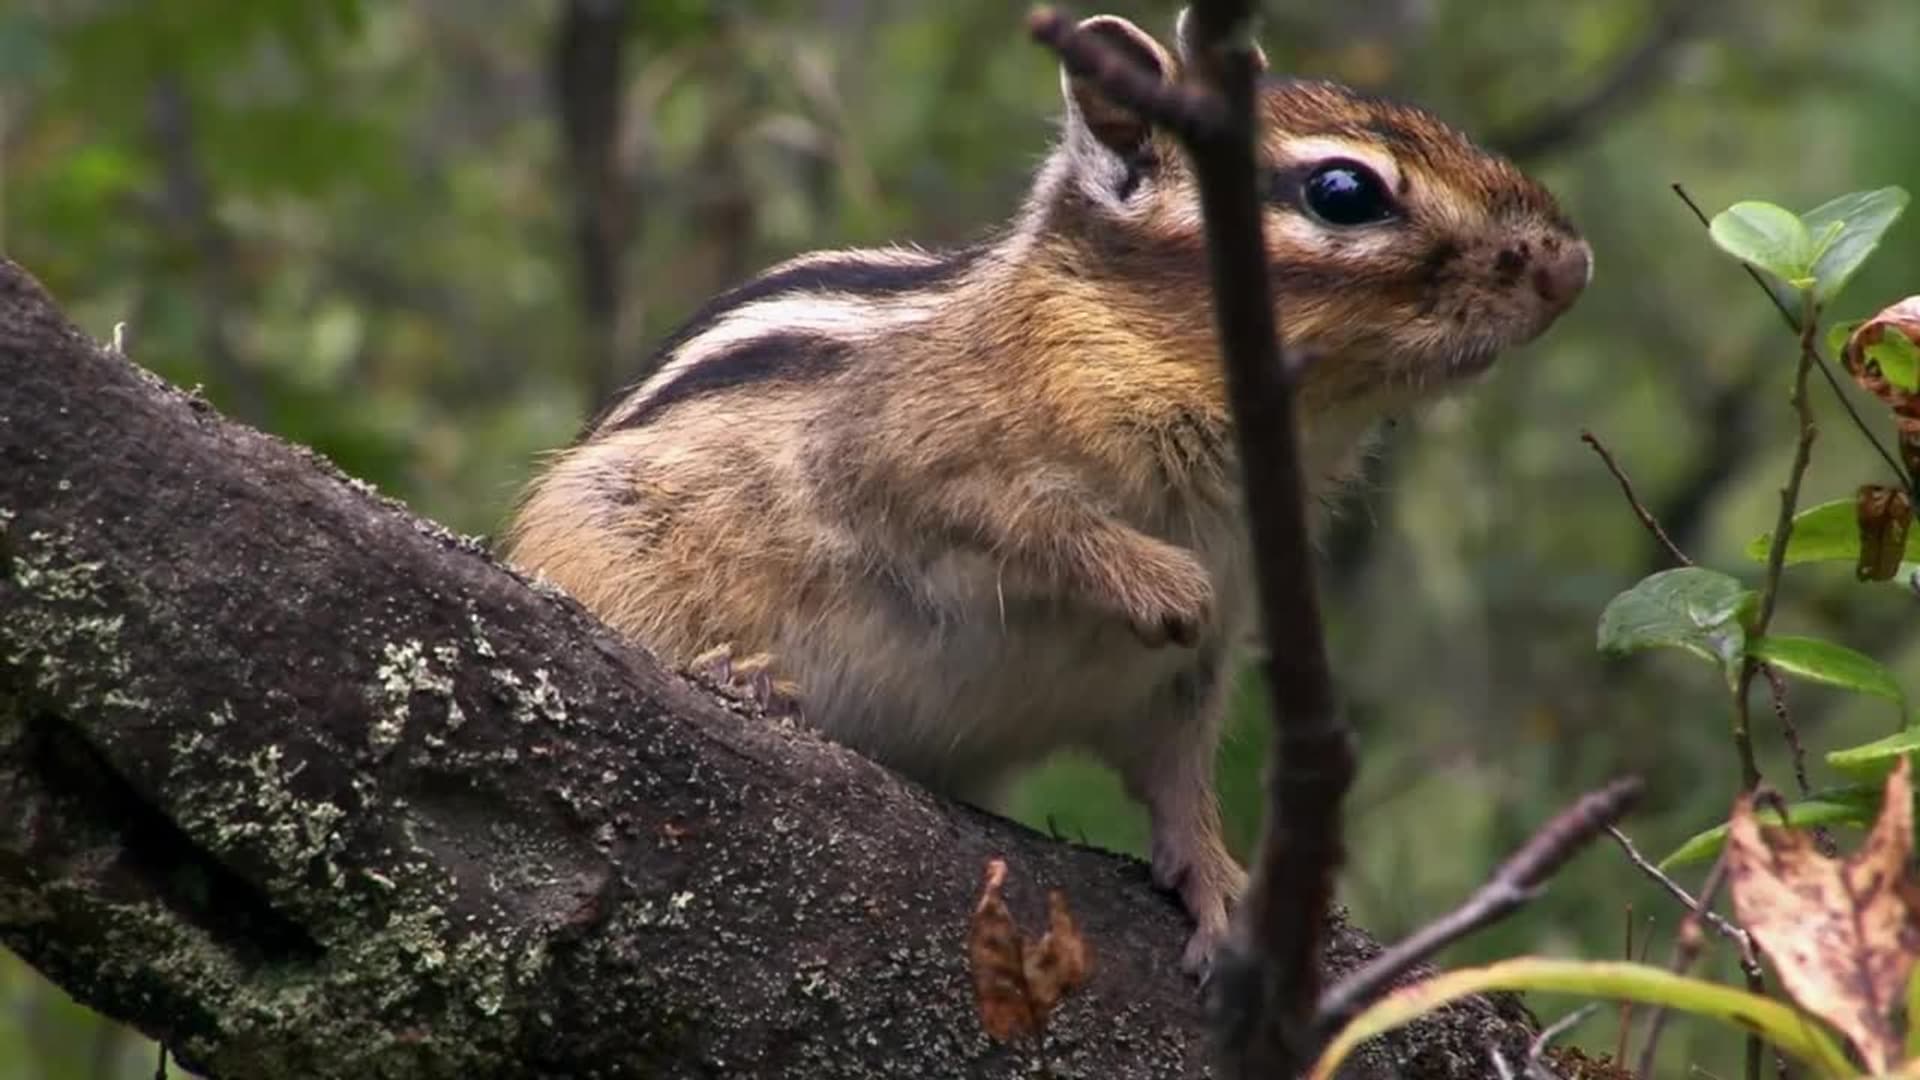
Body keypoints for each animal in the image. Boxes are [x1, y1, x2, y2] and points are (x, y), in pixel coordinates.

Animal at [504, 10, 1591, 979]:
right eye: (1342, 191)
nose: (1570, 265)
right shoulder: (902, 445)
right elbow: (1017, 517)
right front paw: (1160, 582)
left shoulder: (1192, 668)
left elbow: (1177, 774)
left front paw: (1218, 880)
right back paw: (742, 675)